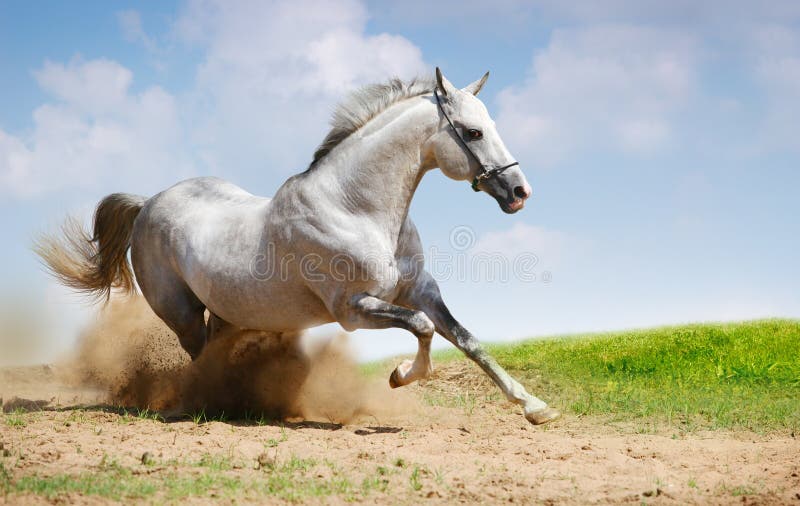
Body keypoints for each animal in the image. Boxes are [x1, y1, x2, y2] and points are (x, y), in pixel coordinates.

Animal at [36, 68, 560, 425]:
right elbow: (424, 328)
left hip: (228, 313)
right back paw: (206, 404)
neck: (355, 208)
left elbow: (467, 340)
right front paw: (398, 376)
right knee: (199, 358)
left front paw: (535, 407)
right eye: (472, 132)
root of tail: (148, 203)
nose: (519, 192)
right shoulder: (353, 309)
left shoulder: (419, 291)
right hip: (181, 313)